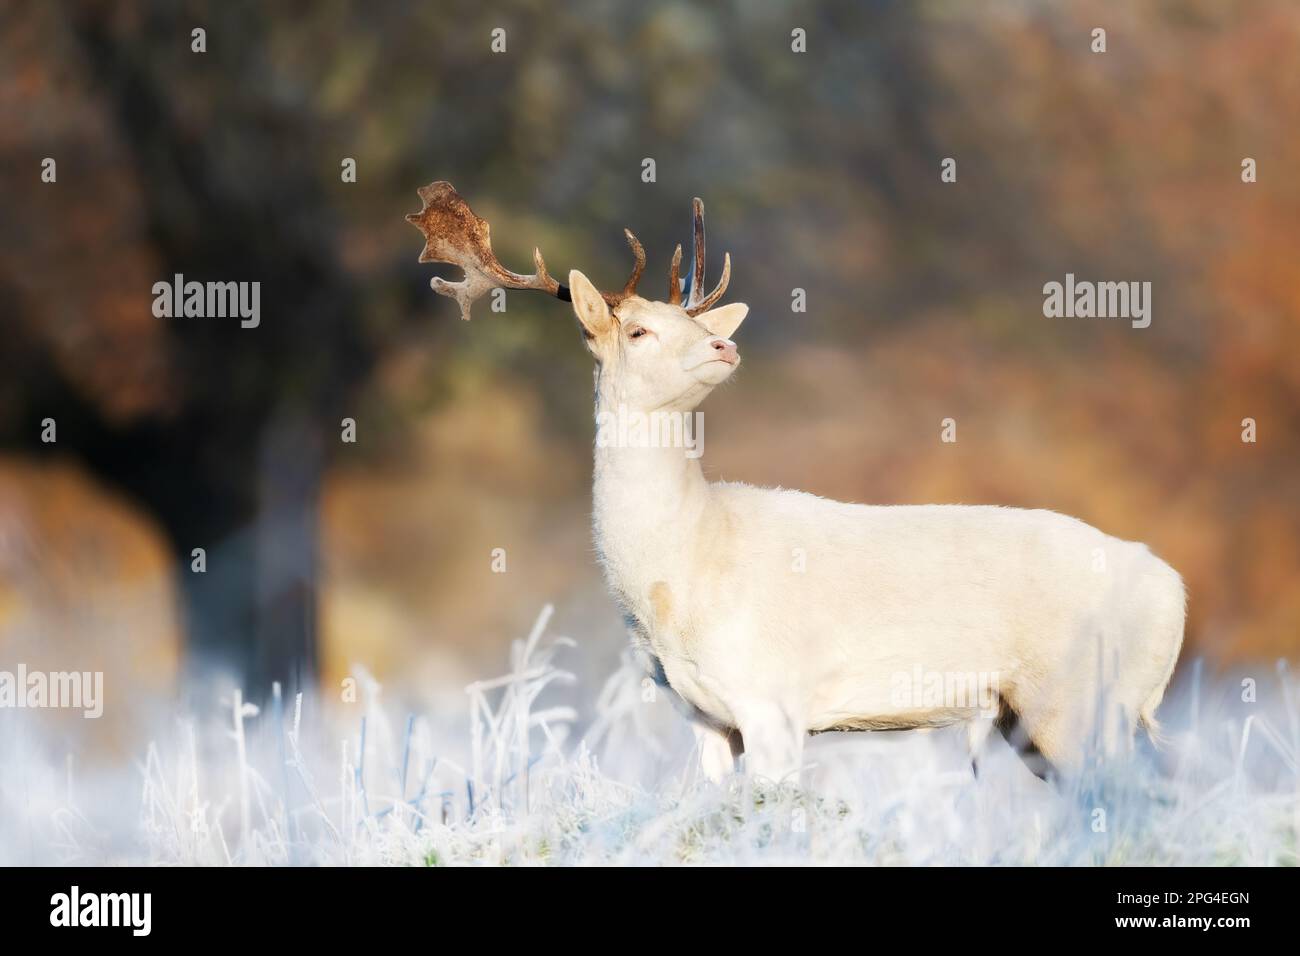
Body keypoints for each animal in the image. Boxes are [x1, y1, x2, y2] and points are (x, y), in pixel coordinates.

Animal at [407, 181, 1186, 784]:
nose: (723, 343)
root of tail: (1172, 592)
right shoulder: (704, 718)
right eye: (637, 332)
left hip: (1082, 703)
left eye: (684, 324)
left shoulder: (773, 700)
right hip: (1038, 720)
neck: (683, 572)